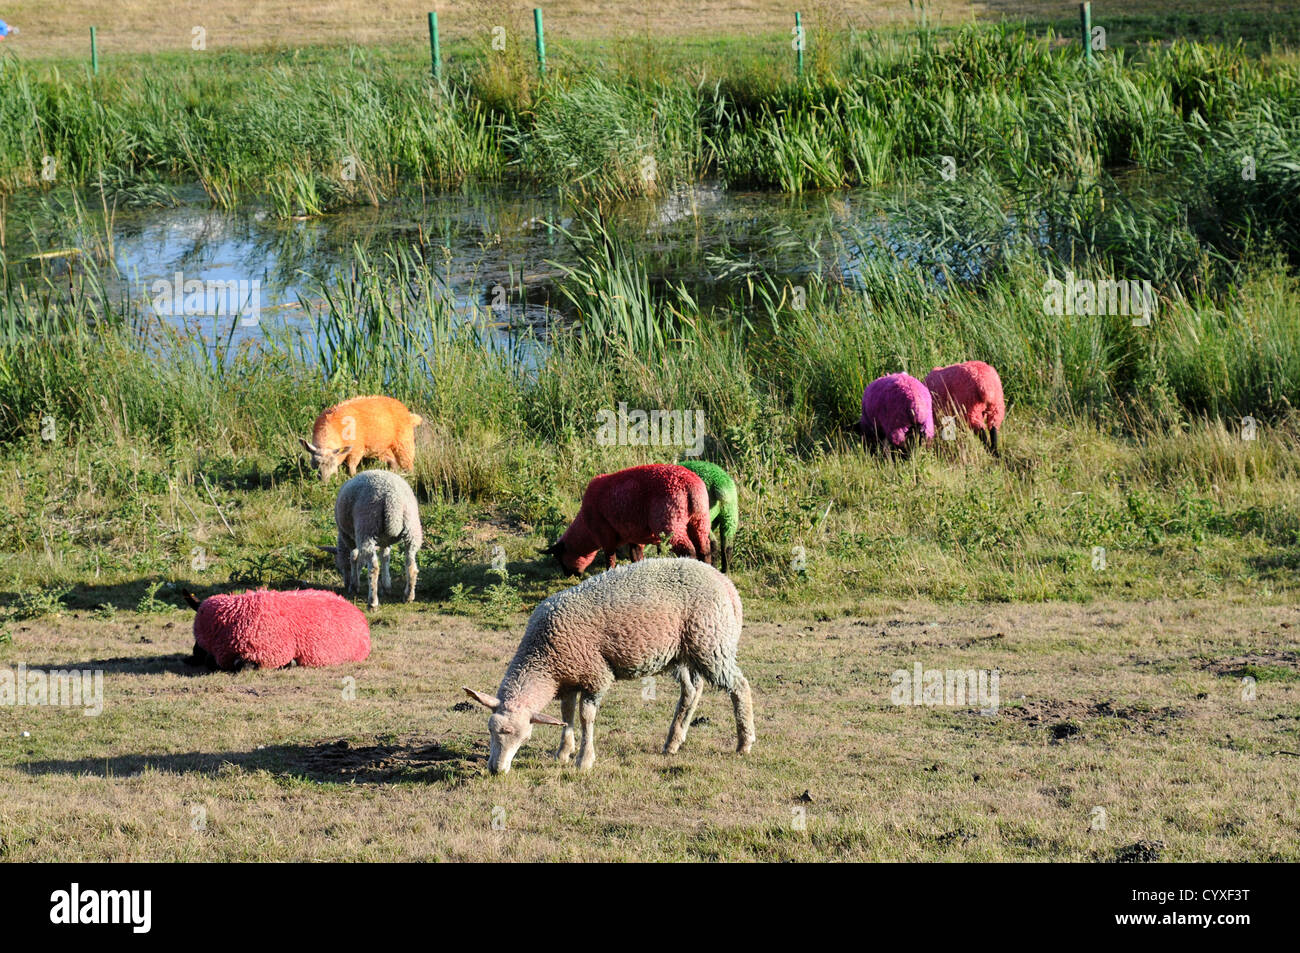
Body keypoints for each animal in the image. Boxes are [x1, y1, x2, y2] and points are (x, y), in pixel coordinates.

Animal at [325, 470, 423, 609]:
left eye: (340, 566)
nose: (345, 584)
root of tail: (392, 499)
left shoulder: (348, 537)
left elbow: (354, 557)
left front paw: (354, 585)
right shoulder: (385, 541)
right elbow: (385, 558)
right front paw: (386, 586)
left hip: (366, 526)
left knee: (374, 567)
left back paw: (372, 601)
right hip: (412, 528)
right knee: (411, 565)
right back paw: (408, 596)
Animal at [464, 557, 755, 774]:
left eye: (525, 738)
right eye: (490, 730)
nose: (496, 770)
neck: (543, 657)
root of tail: (724, 581)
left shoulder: (595, 675)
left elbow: (586, 717)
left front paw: (584, 760)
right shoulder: (569, 677)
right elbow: (567, 714)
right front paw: (563, 752)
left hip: (711, 641)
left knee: (740, 686)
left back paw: (744, 742)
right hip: (683, 651)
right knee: (692, 690)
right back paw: (673, 742)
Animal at [540, 464, 711, 575]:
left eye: (559, 558)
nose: (567, 575)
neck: (586, 530)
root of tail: (690, 485)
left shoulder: (605, 534)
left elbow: (610, 559)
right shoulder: (635, 535)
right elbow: (636, 556)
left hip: (670, 522)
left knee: (688, 551)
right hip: (700, 520)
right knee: (705, 550)